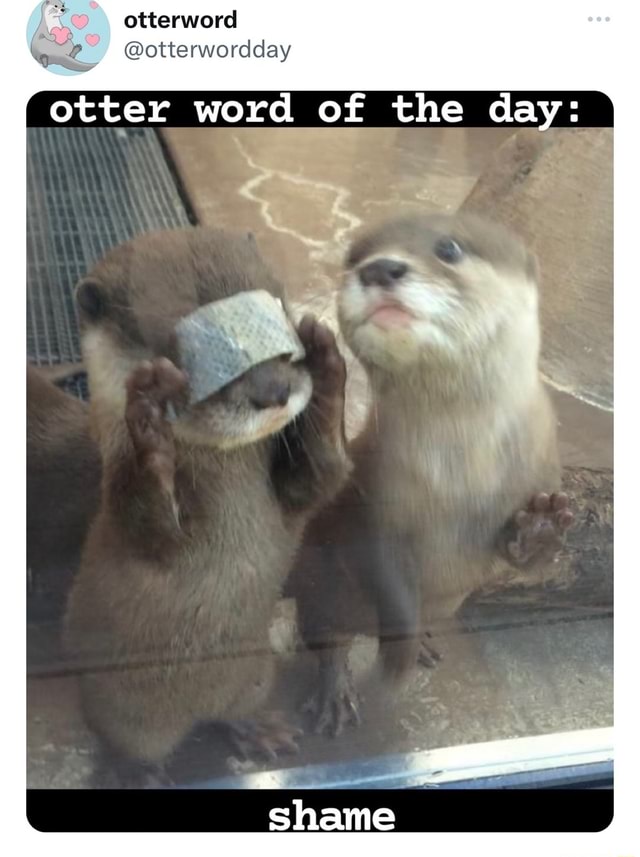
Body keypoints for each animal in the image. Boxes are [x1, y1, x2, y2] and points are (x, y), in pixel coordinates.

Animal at [63, 227, 350, 784]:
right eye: (183, 352)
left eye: (278, 308)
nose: (273, 391)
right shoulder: (130, 514)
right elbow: (147, 522)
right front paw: (147, 416)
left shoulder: (289, 495)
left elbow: (322, 477)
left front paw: (327, 362)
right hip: (122, 709)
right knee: (129, 745)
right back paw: (142, 775)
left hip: (254, 675)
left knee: (228, 713)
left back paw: (259, 730)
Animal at [289, 213, 573, 735]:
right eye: (354, 256)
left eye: (449, 248)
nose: (379, 268)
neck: (462, 472)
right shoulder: (373, 496)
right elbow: (386, 577)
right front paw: (394, 665)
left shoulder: (540, 470)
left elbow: (525, 561)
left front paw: (541, 529)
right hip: (321, 591)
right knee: (327, 637)